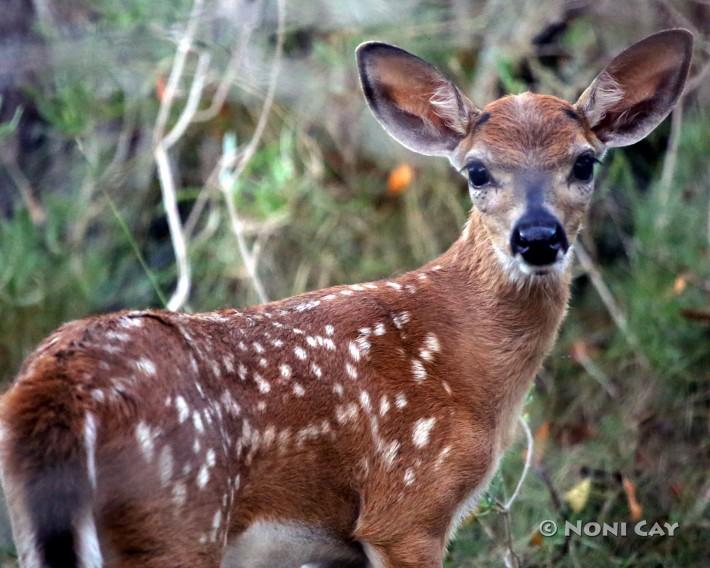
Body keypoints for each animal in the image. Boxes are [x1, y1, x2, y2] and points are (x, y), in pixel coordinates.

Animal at [0, 28, 692, 568]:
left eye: (584, 163)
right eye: (477, 171)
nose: (539, 237)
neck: (470, 363)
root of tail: (56, 390)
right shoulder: (408, 505)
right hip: (178, 512)